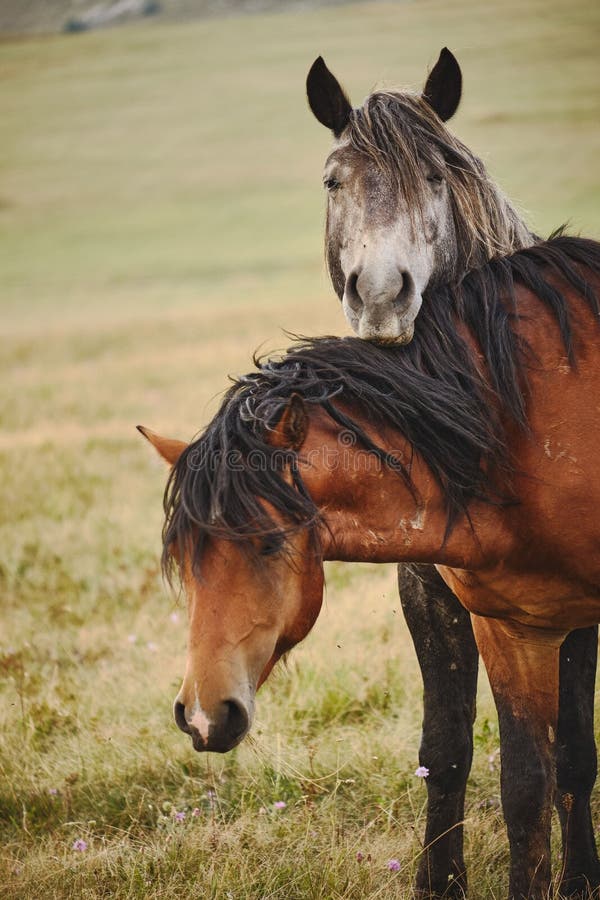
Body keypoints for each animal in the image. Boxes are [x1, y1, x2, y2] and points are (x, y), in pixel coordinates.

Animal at [140, 236, 600, 898]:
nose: (203, 716)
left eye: (270, 544)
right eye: (184, 560)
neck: (518, 435)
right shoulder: (514, 628)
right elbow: (525, 790)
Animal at [307, 49, 600, 897]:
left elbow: (572, 752)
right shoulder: (426, 590)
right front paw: (438, 881)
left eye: (437, 177)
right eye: (334, 181)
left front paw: (579, 878)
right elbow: (446, 749)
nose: (381, 296)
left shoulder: (567, 610)